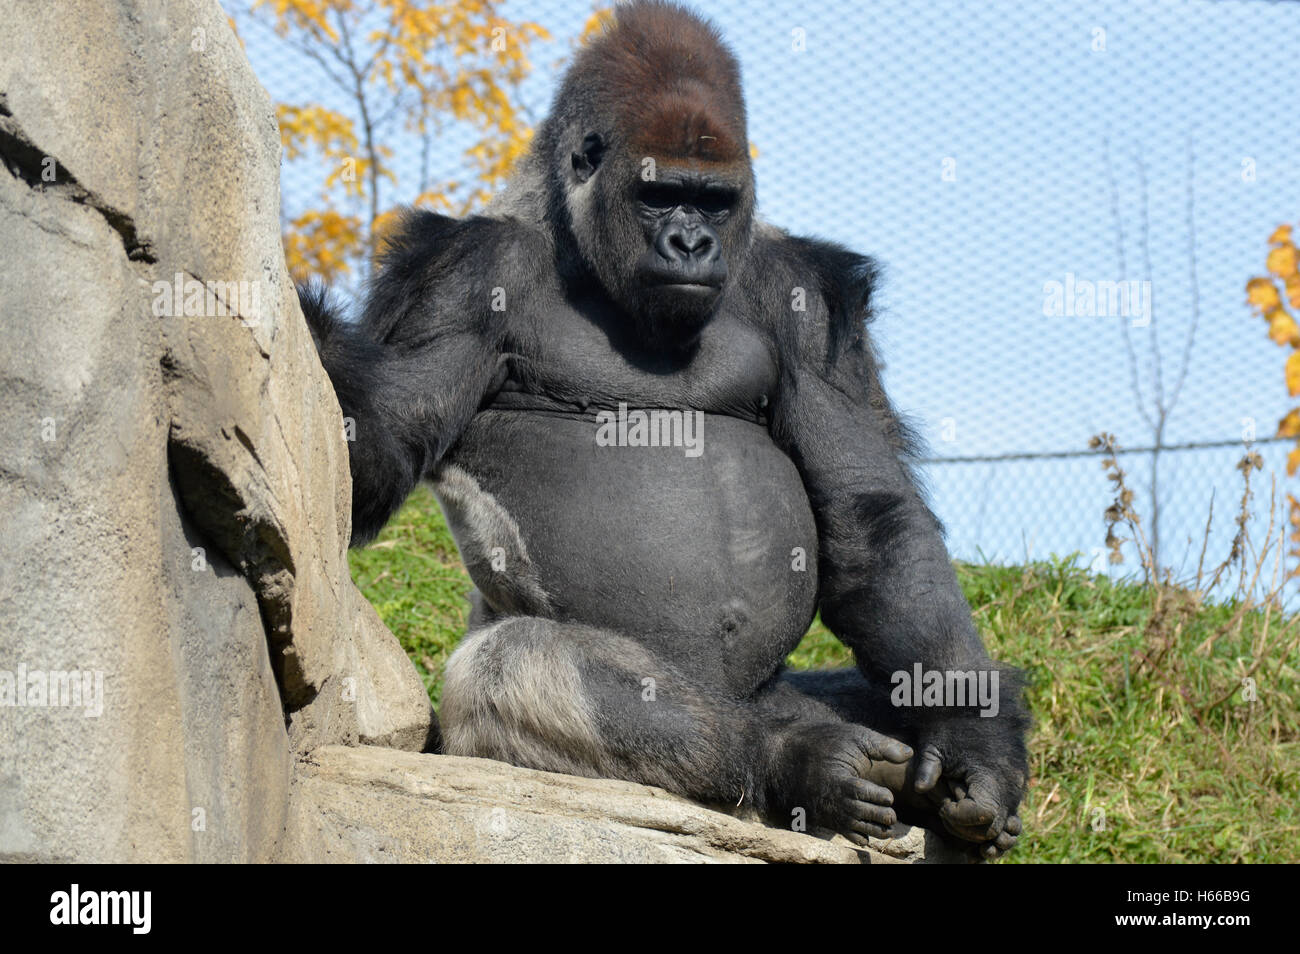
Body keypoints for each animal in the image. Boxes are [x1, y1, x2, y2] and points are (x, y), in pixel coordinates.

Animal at [301, 0, 1029, 858]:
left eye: (712, 201)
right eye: (658, 196)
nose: (691, 243)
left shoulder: (805, 295)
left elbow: (870, 506)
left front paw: (973, 736)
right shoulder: (462, 277)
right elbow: (381, 443)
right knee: (513, 664)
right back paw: (798, 760)